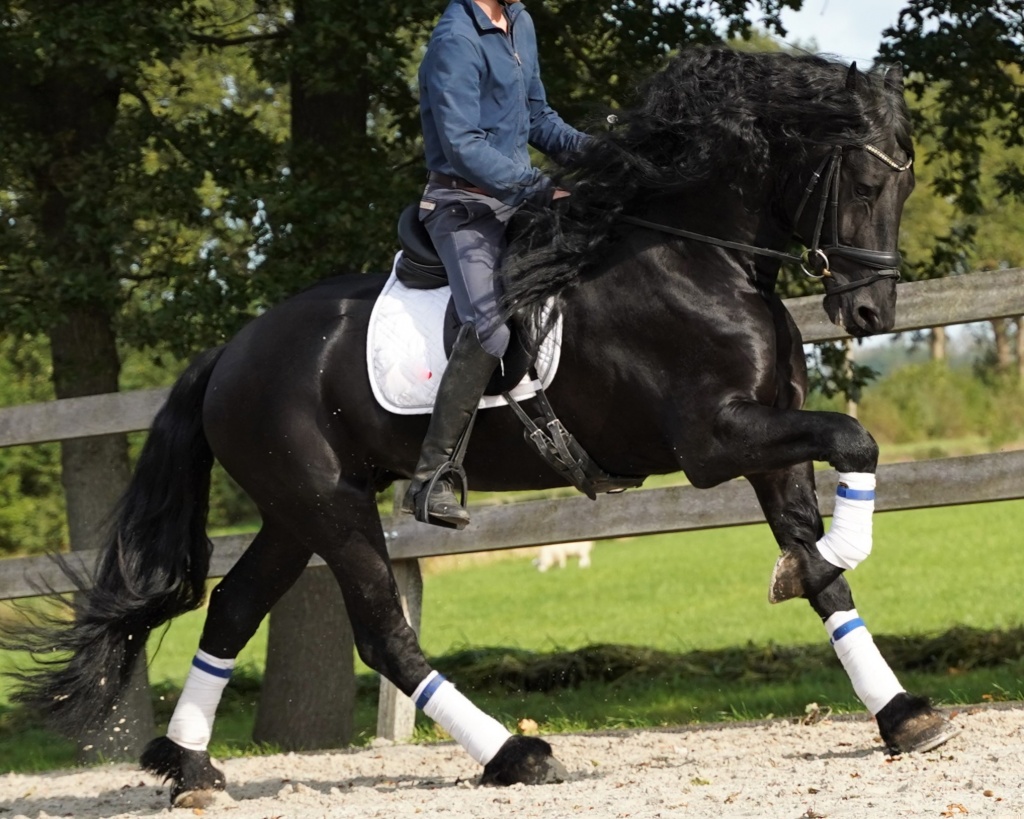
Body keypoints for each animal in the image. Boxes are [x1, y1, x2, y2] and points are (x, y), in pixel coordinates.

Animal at [8, 47, 959, 805]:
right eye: (865, 182)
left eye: (907, 181)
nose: (870, 311)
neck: (699, 255)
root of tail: (231, 353)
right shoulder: (715, 441)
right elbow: (856, 442)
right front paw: (815, 568)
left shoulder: (767, 444)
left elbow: (829, 562)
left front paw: (901, 708)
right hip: (329, 504)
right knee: (383, 633)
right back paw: (514, 753)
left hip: (294, 509)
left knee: (233, 608)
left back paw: (189, 767)